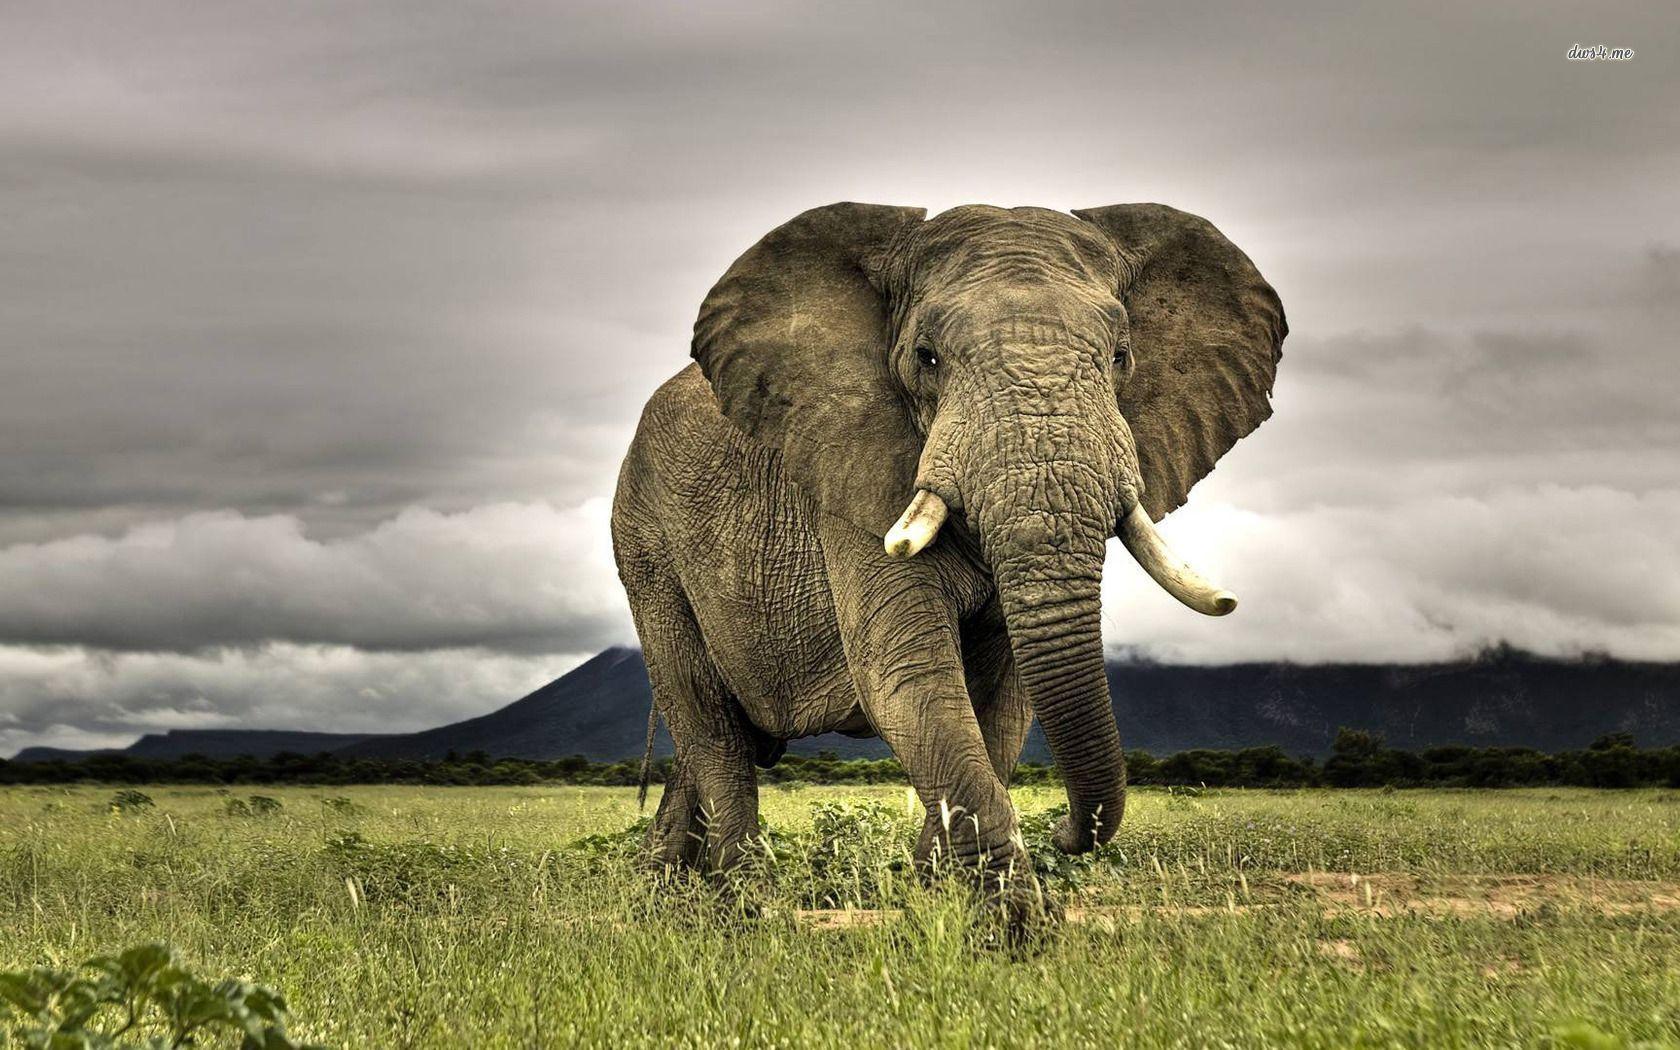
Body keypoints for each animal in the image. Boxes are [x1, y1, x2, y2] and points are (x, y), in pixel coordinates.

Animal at [611, 202, 1284, 903]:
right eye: (926, 358)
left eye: (1122, 357)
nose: (1065, 834)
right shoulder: (852, 476)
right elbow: (910, 678)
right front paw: (1008, 921)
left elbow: (1002, 705)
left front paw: (935, 896)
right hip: (646, 544)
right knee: (711, 727)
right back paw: (743, 904)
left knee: (720, 744)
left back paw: (666, 892)